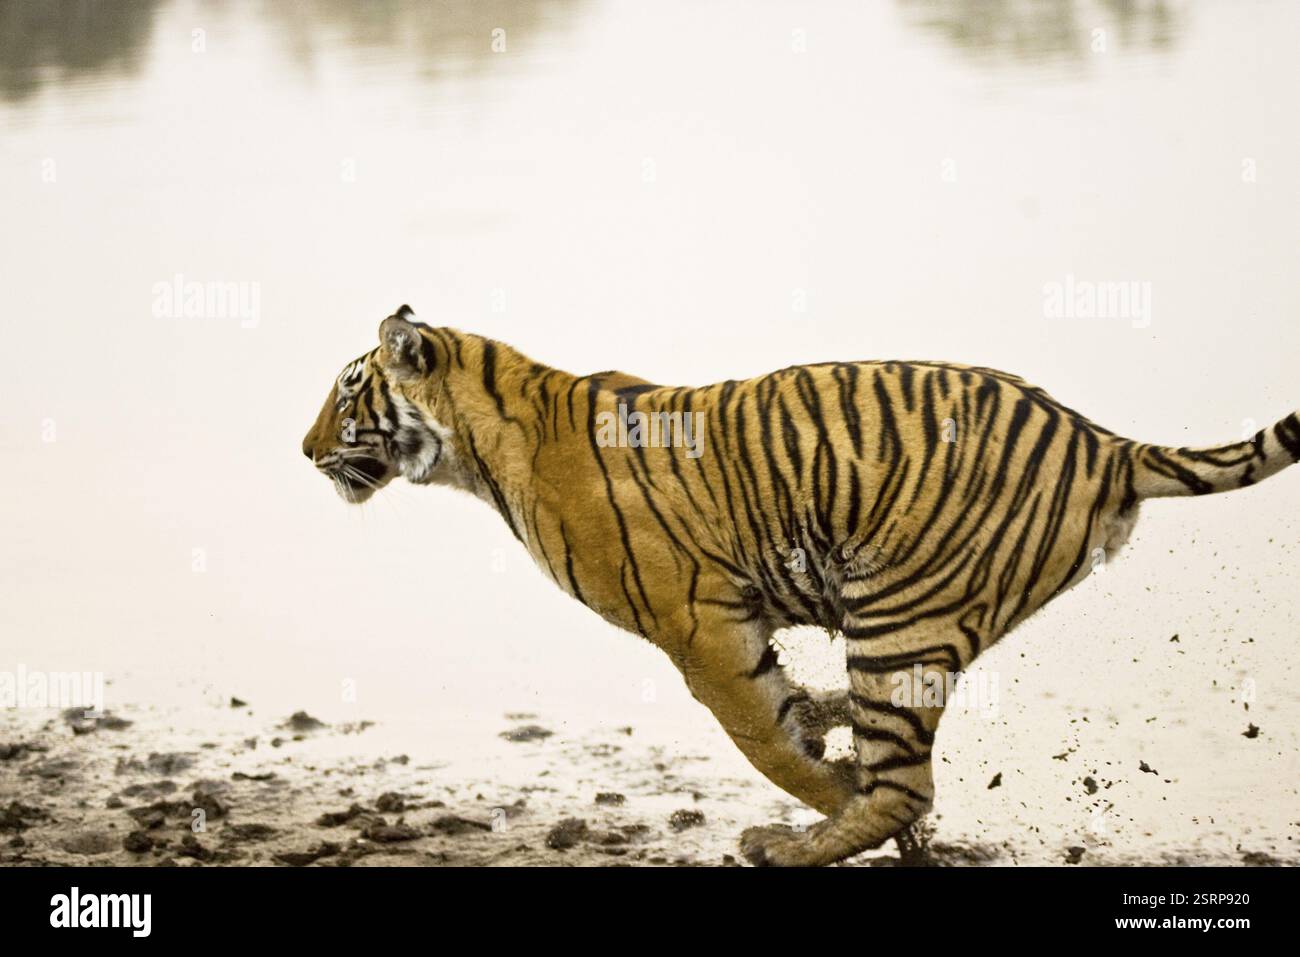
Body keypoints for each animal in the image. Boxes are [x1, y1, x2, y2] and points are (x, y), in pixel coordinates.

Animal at [302, 304, 1300, 866]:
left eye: (349, 392)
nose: (306, 450)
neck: (484, 438)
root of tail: (1104, 441)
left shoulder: (699, 623)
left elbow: (765, 741)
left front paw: (828, 780)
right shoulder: (734, 620)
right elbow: (791, 715)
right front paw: (826, 728)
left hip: (896, 617)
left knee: (906, 787)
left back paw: (784, 848)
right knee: (904, 772)